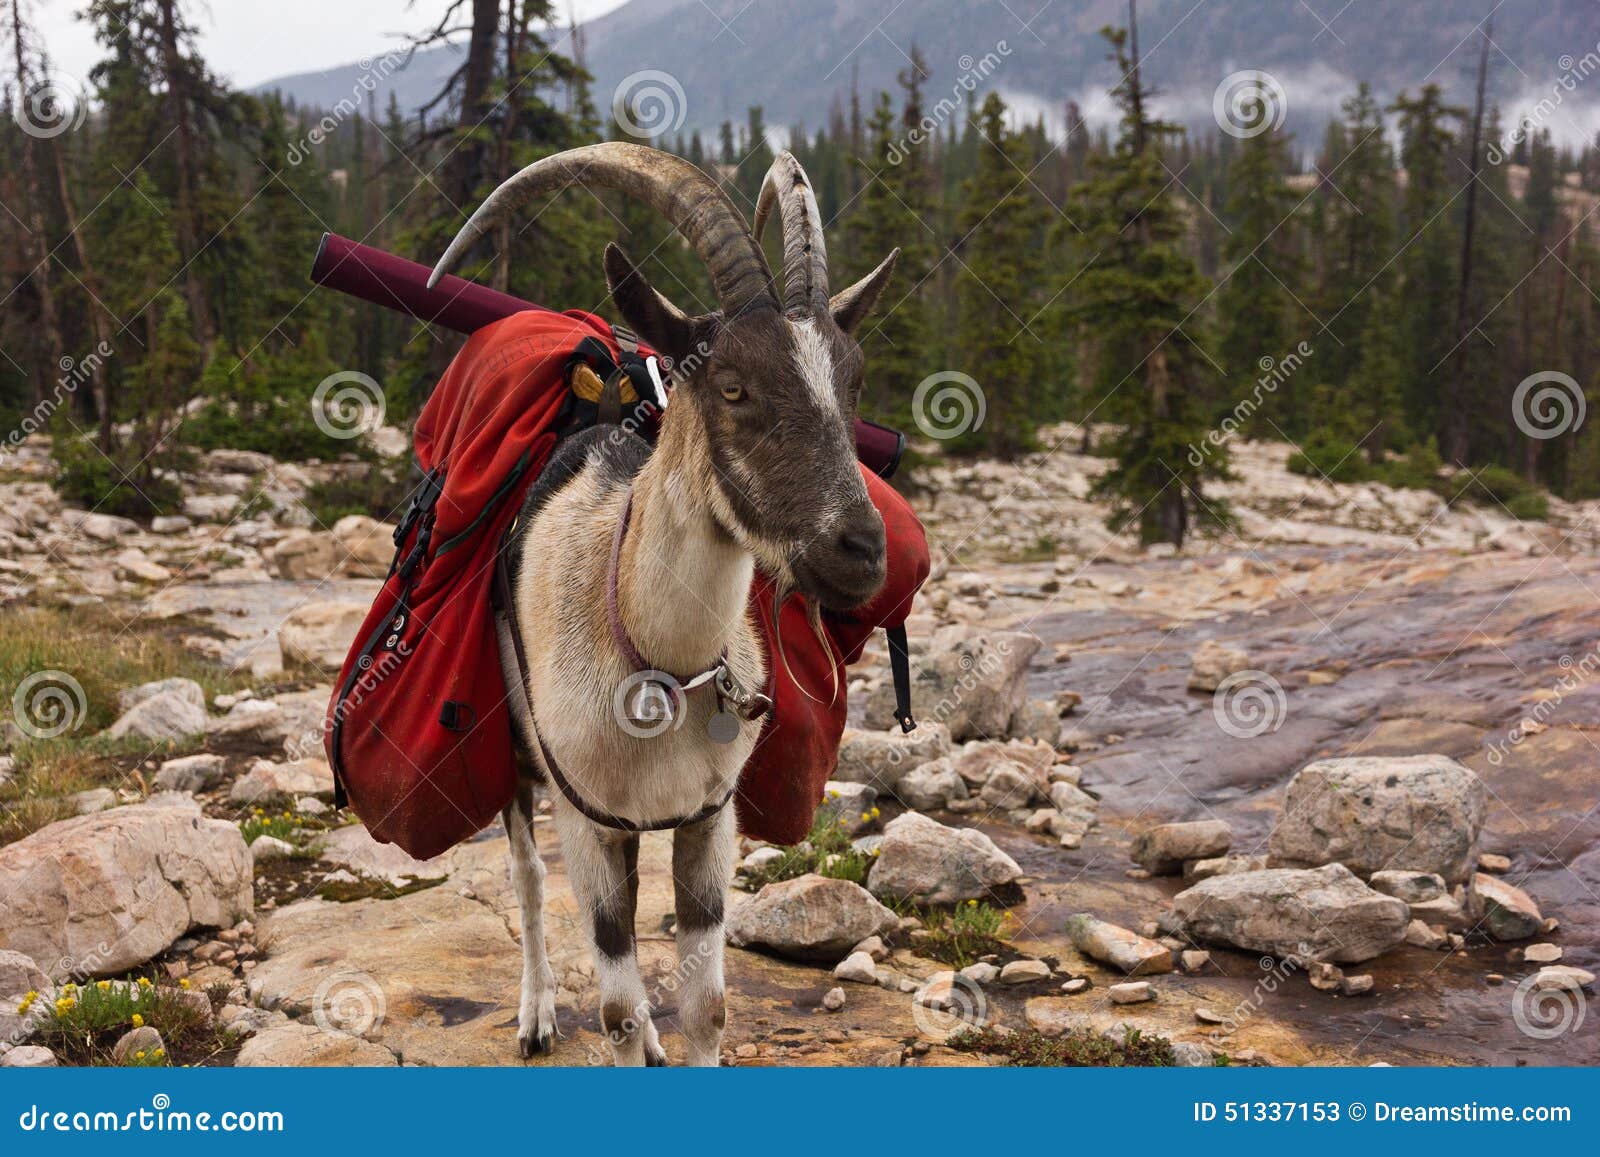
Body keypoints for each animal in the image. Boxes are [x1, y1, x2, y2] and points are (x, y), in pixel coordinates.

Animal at [428, 143, 899, 1066]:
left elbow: (706, 1003)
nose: (861, 549)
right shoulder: (585, 815)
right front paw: (606, 1026)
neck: (656, 659)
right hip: (515, 753)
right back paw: (536, 1015)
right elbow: (611, 999)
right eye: (733, 386)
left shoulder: (708, 819)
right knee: (528, 878)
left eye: (855, 380)